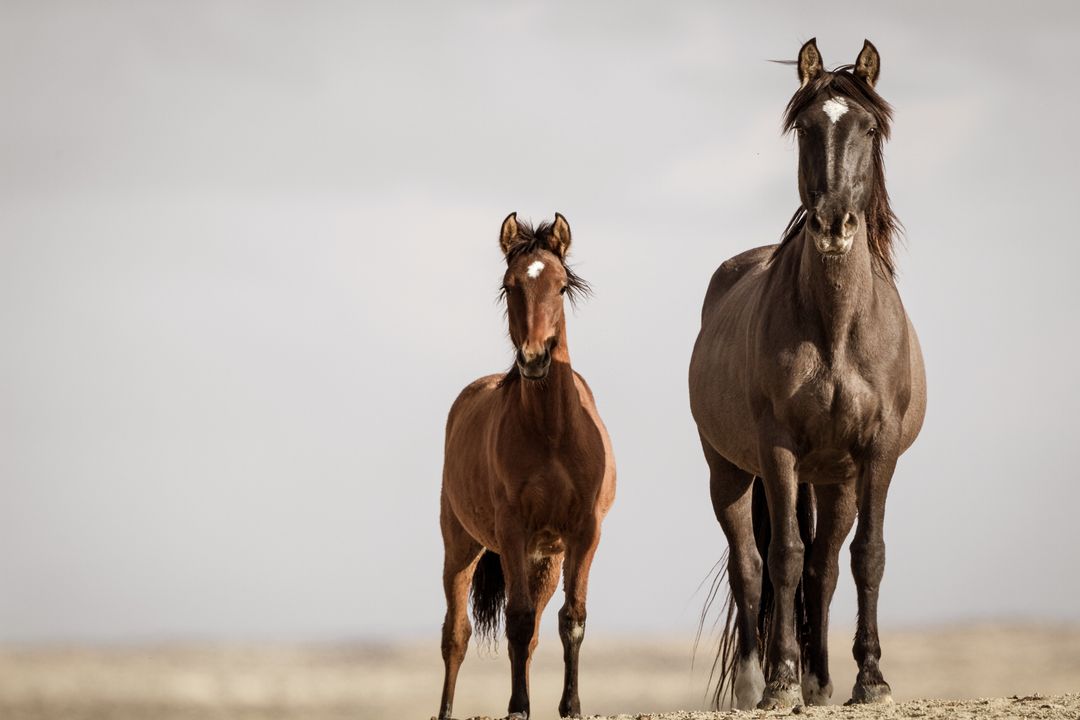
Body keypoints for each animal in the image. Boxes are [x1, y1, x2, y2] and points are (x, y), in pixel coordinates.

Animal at [437, 213, 616, 720]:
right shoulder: (513, 530)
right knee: (455, 636)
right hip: (461, 548)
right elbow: (515, 621)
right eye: (509, 285)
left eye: (560, 286)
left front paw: (570, 705)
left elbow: (570, 619)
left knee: (536, 630)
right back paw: (446, 709)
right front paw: (518, 706)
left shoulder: (583, 533)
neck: (552, 434)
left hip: (546, 560)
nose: (534, 359)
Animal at [688, 39, 926, 710]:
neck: (836, 328)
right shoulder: (778, 449)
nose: (834, 224)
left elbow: (865, 556)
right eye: (805, 127)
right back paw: (755, 682)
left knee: (825, 567)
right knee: (751, 565)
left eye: (868, 128)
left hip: (835, 480)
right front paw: (780, 683)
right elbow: (784, 557)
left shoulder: (877, 452)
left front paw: (870, 680)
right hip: (729, 472)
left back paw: (821, 683)